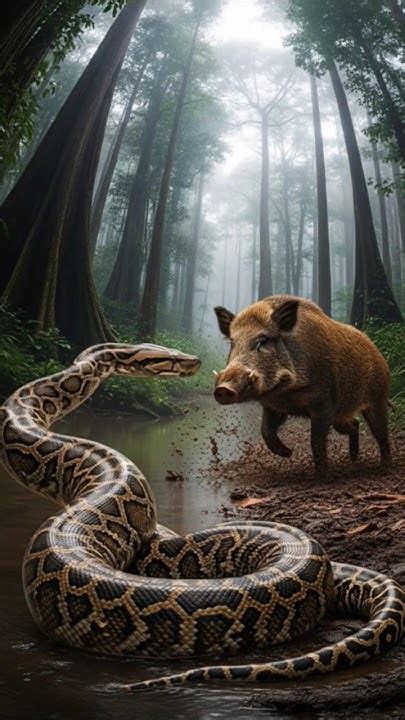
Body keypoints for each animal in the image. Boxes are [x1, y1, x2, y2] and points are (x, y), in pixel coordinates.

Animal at [214, 295, 391, 472]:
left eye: (263, 341)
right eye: (232, 343)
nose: (223, 389)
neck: (285, 392)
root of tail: (378, 352)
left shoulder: (323, 404)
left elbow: (316, 442)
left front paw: (321, 474)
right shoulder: (273, 407)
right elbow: (265, 431)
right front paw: (287, 453)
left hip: (377, 397)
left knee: (381, 433)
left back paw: (384, 466)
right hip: (341, 415)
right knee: (355, 423)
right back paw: (353, 460)